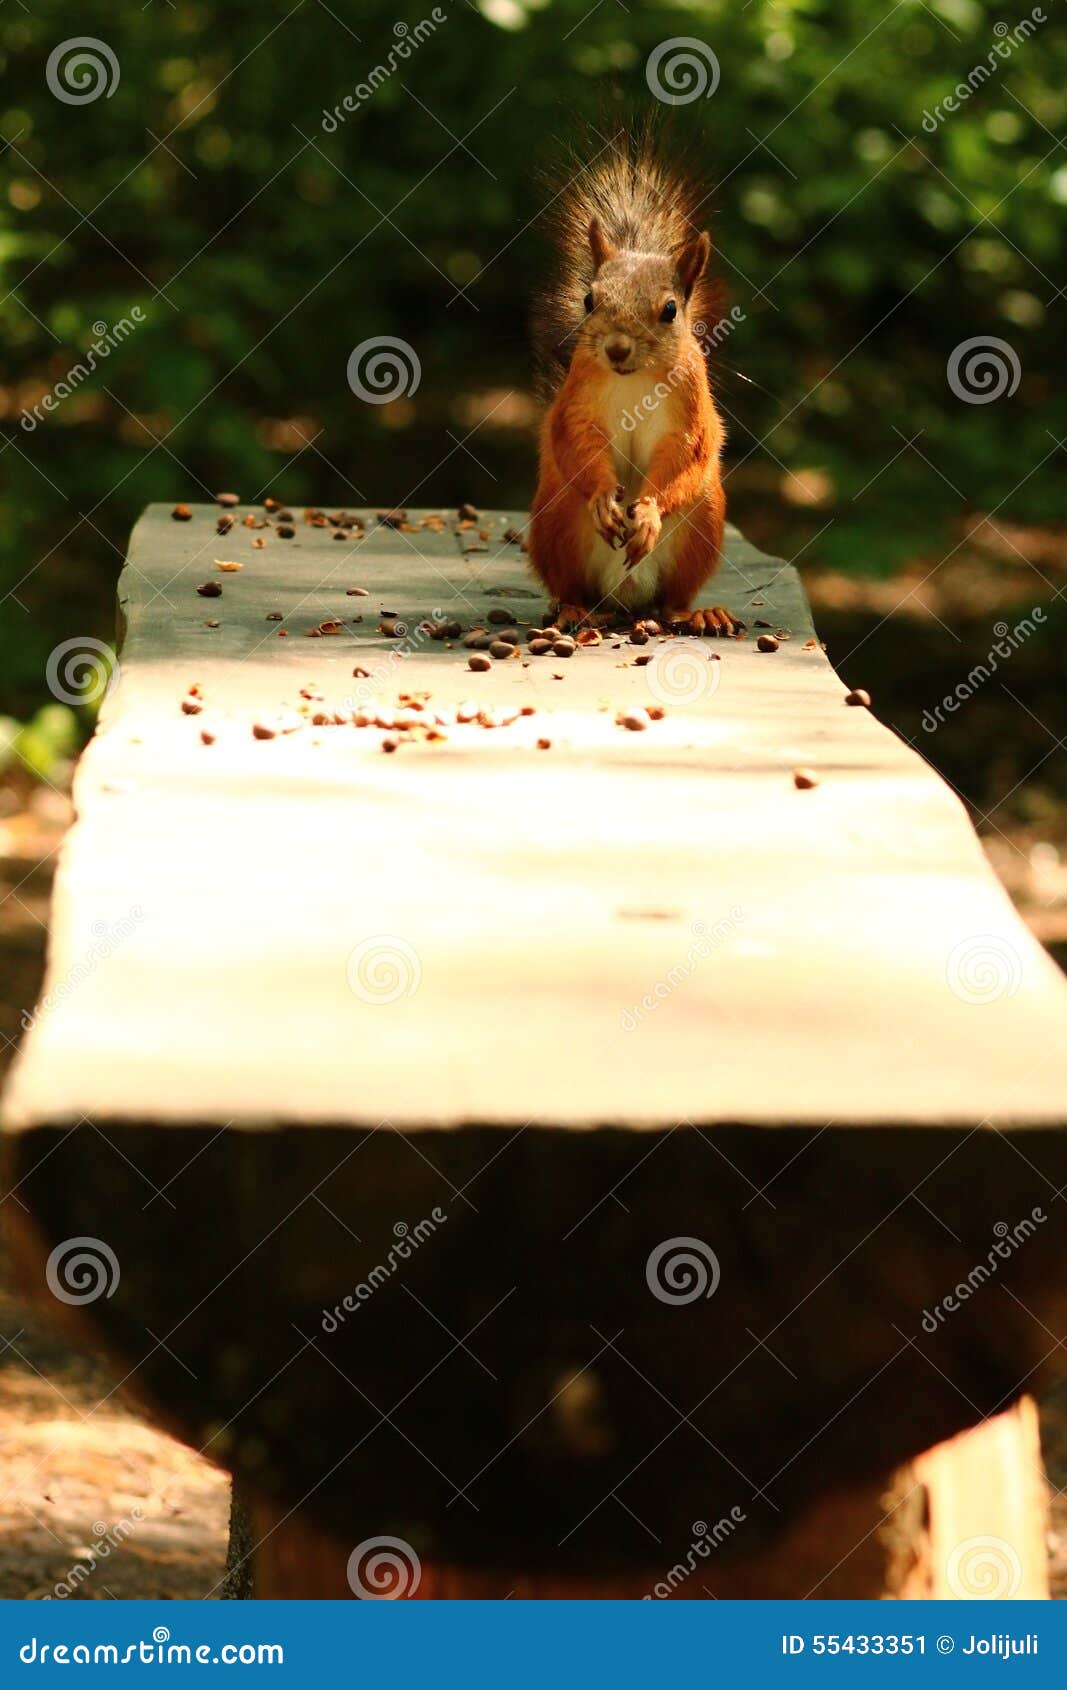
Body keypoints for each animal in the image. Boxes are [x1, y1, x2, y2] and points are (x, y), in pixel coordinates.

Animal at [528, 136, 736, 635]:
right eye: (589, 300)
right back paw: (572, 609)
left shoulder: (690, 404)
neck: (635, 377)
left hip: (703, 521)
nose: (617, 349)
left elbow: (686, 451)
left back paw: (698, 613)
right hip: (555, 519)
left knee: (670, 602)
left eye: (669, 310)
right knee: (570, 587)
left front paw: (649, 513)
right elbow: (576, 438)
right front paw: (606, 498)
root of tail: (623, 598)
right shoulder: (578, 397)